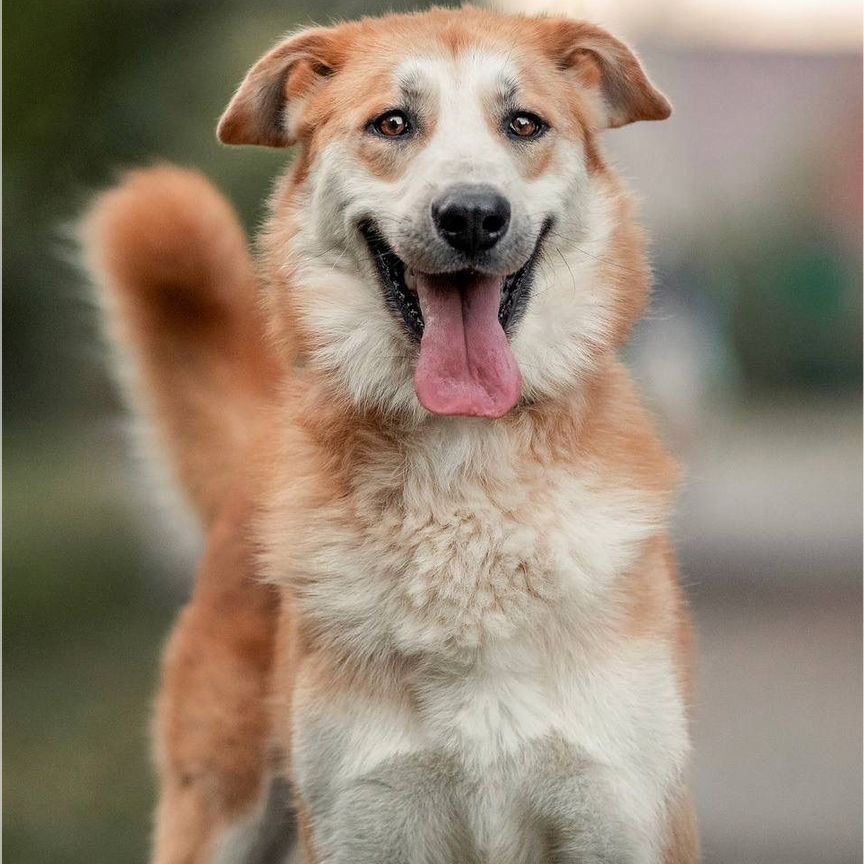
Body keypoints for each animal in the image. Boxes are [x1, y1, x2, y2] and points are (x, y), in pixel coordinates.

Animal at [82, 8, 696, 864]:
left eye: (524, 123)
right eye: (393, 124)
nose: (472, 215)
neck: (464, 474)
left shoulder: (618, 817)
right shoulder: (365, 820)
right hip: (216, 815)